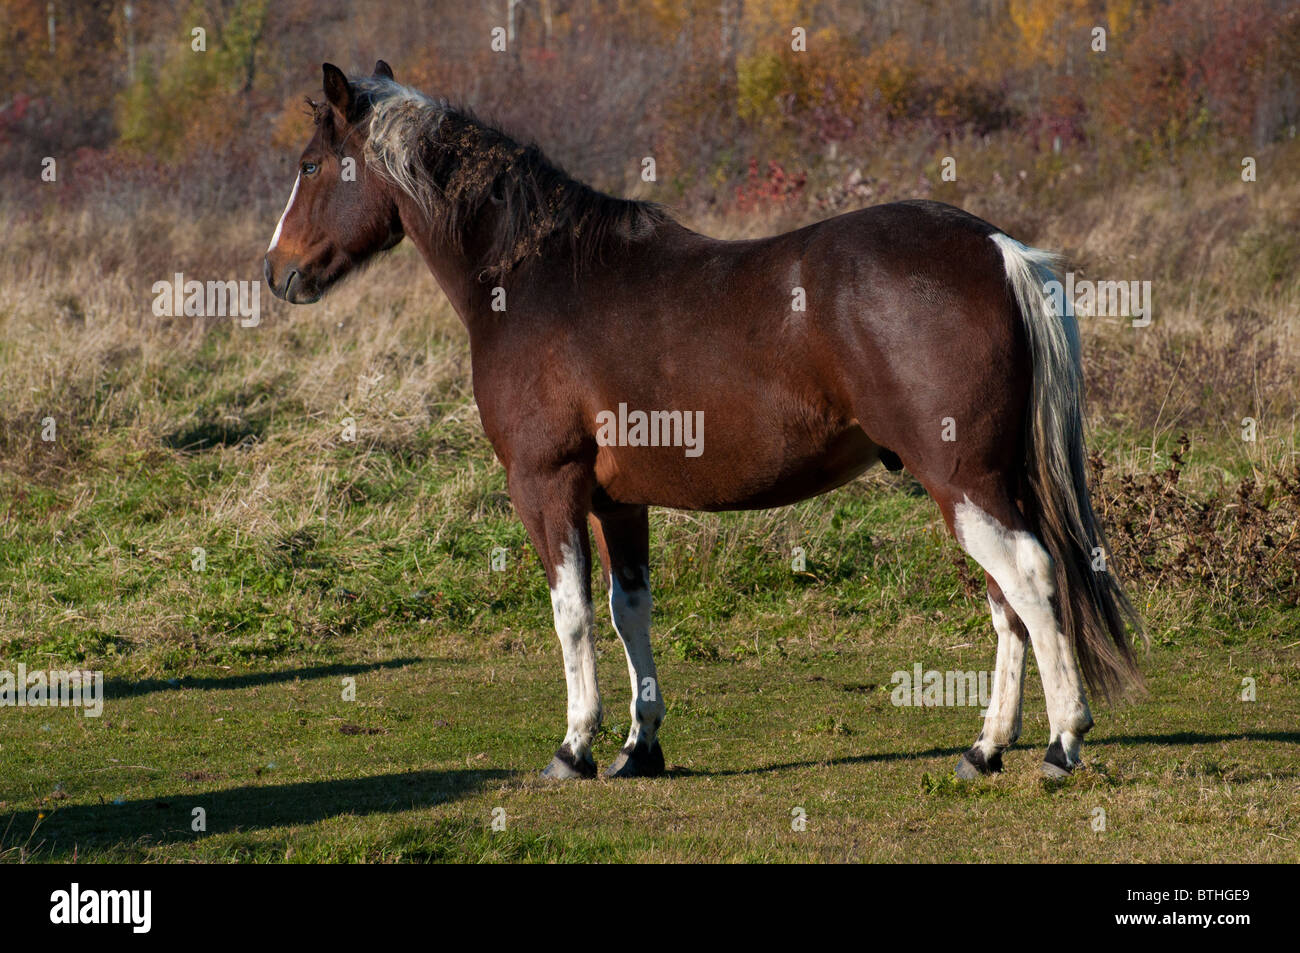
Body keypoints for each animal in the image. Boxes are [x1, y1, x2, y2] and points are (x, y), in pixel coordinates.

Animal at [264, 61, 1144, 781]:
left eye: (309, 165)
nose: (276, 274)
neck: (537, 276)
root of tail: (996, 248)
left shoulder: (546, 485)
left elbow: (571, 613)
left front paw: (575, 747)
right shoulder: (618, 501)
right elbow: (629, 611)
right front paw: (638, 746)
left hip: (961, 480)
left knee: (1028, 576)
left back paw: (1062, 744)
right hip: (979, 483)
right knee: (1008, 597)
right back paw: (985, 747)